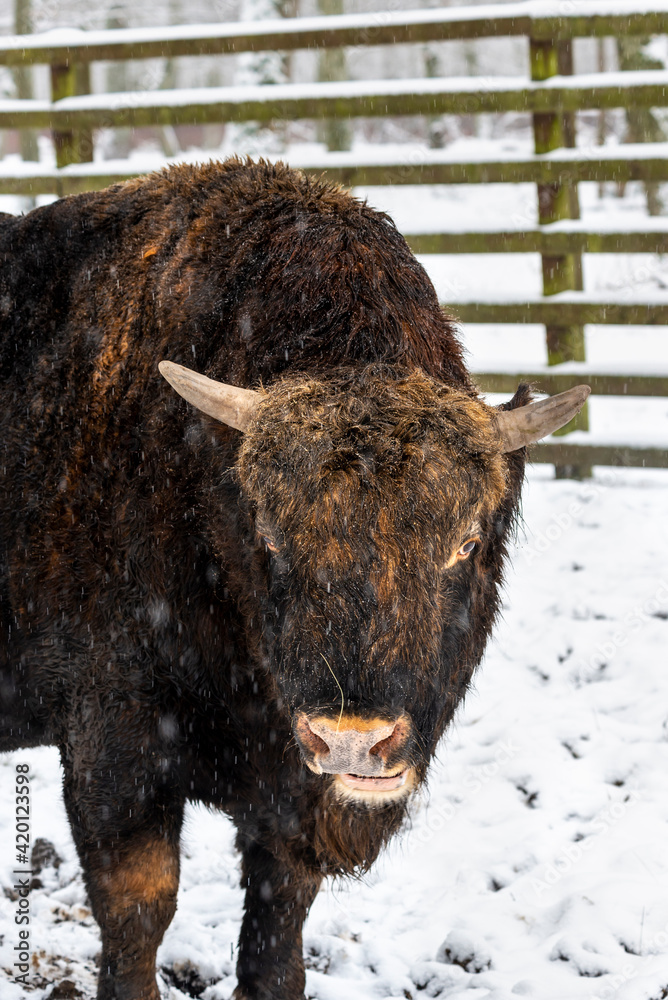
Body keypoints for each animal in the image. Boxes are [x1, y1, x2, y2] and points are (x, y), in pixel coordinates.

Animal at [0, 157, 588, 1000]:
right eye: (272, 538)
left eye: (467, 542)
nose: (354, 741)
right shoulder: (112, 740)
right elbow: (138, 911)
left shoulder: (290, 811)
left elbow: (276, 941)